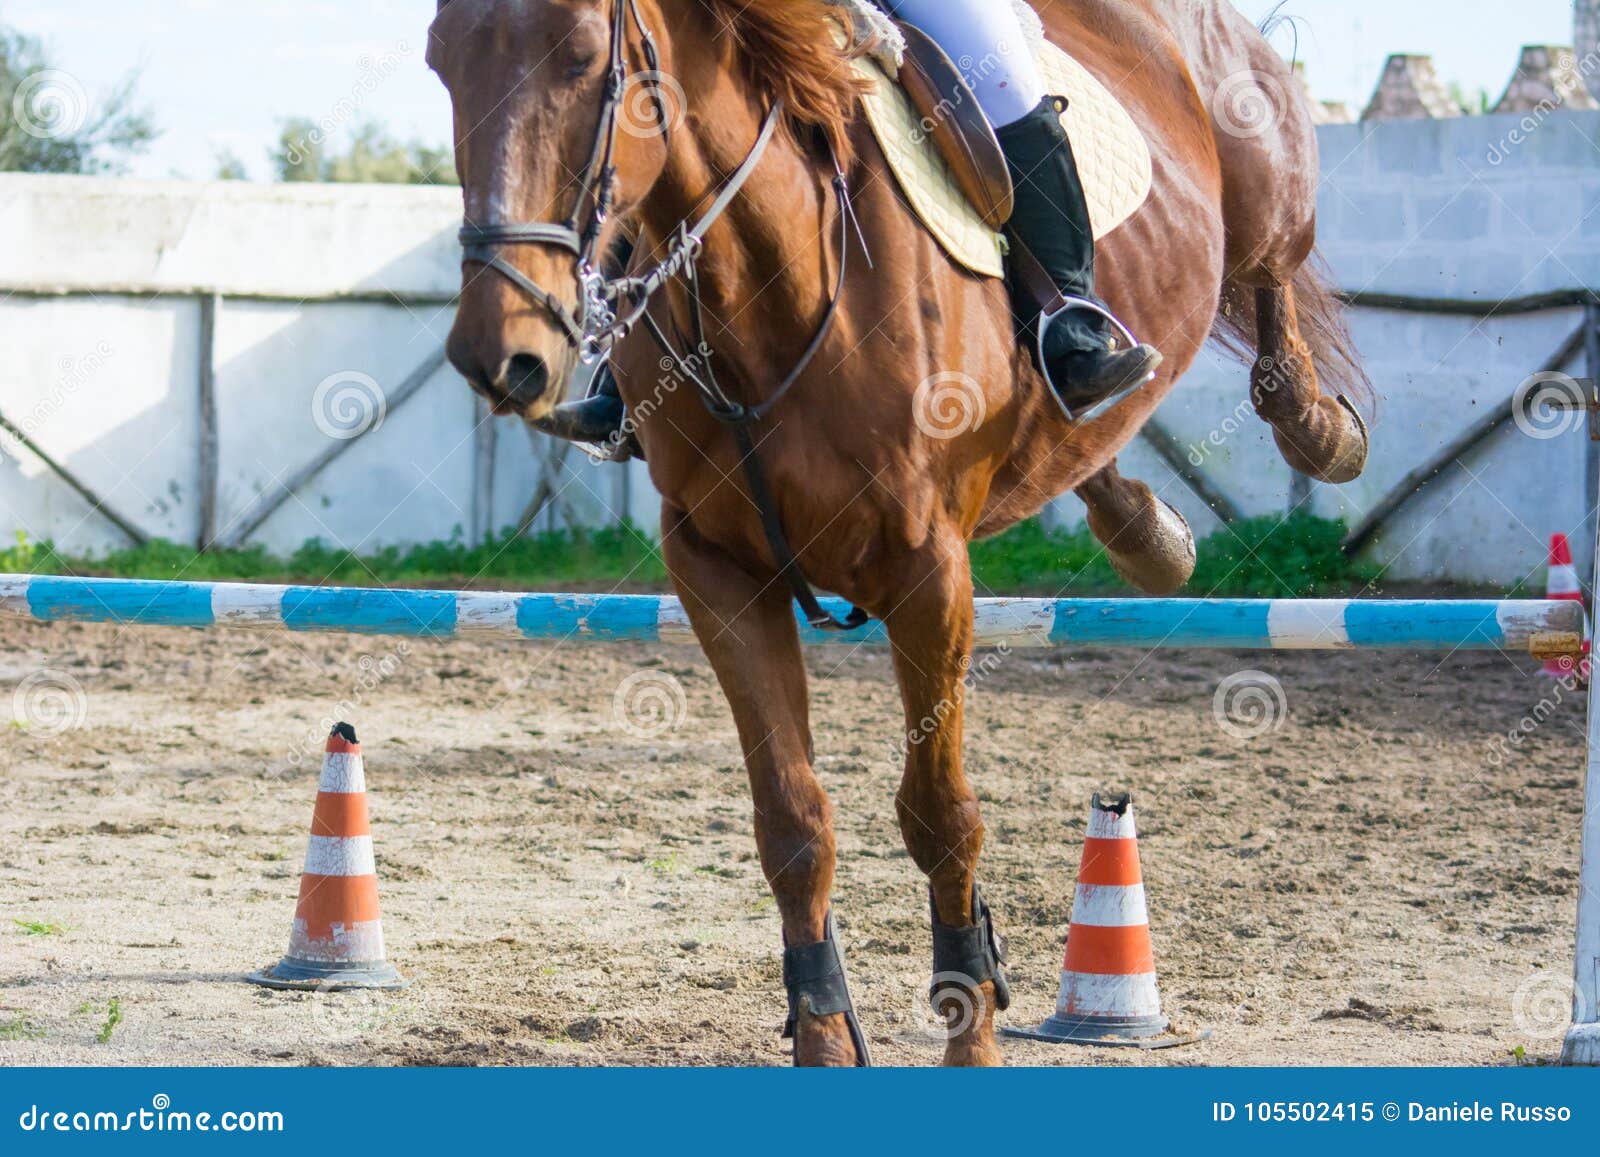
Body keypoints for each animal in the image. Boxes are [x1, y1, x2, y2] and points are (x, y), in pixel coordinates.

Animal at [428, 0, 1372, 1066]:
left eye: (584, 57)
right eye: (441, 64)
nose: (498, 355)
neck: (778, 282)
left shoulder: (928, 575)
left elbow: (940, 816)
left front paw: (971, 1029)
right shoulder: (720, 570)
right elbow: (793, 819)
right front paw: (825, 1036)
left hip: (1262, 186)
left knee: (1271, 281)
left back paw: (1311, 426)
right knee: (1096, 438)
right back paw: (1144, 525)